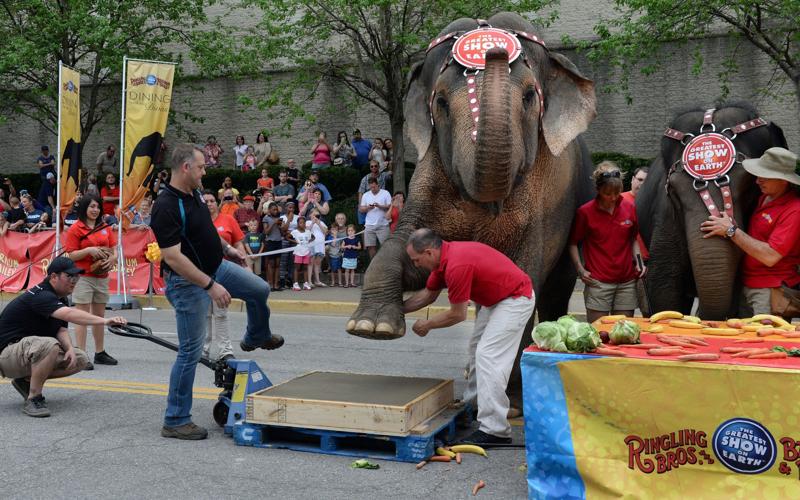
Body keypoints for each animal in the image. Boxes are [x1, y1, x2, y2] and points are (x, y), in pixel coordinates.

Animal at [345, 12, 596, 405]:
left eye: (529, 97)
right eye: (441, 103)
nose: (491, 46)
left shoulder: (543, 200)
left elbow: (526, 274)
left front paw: (508, 395)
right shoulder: (428, 176)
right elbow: (405, 247)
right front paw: (372, 326)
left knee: (556, 287)